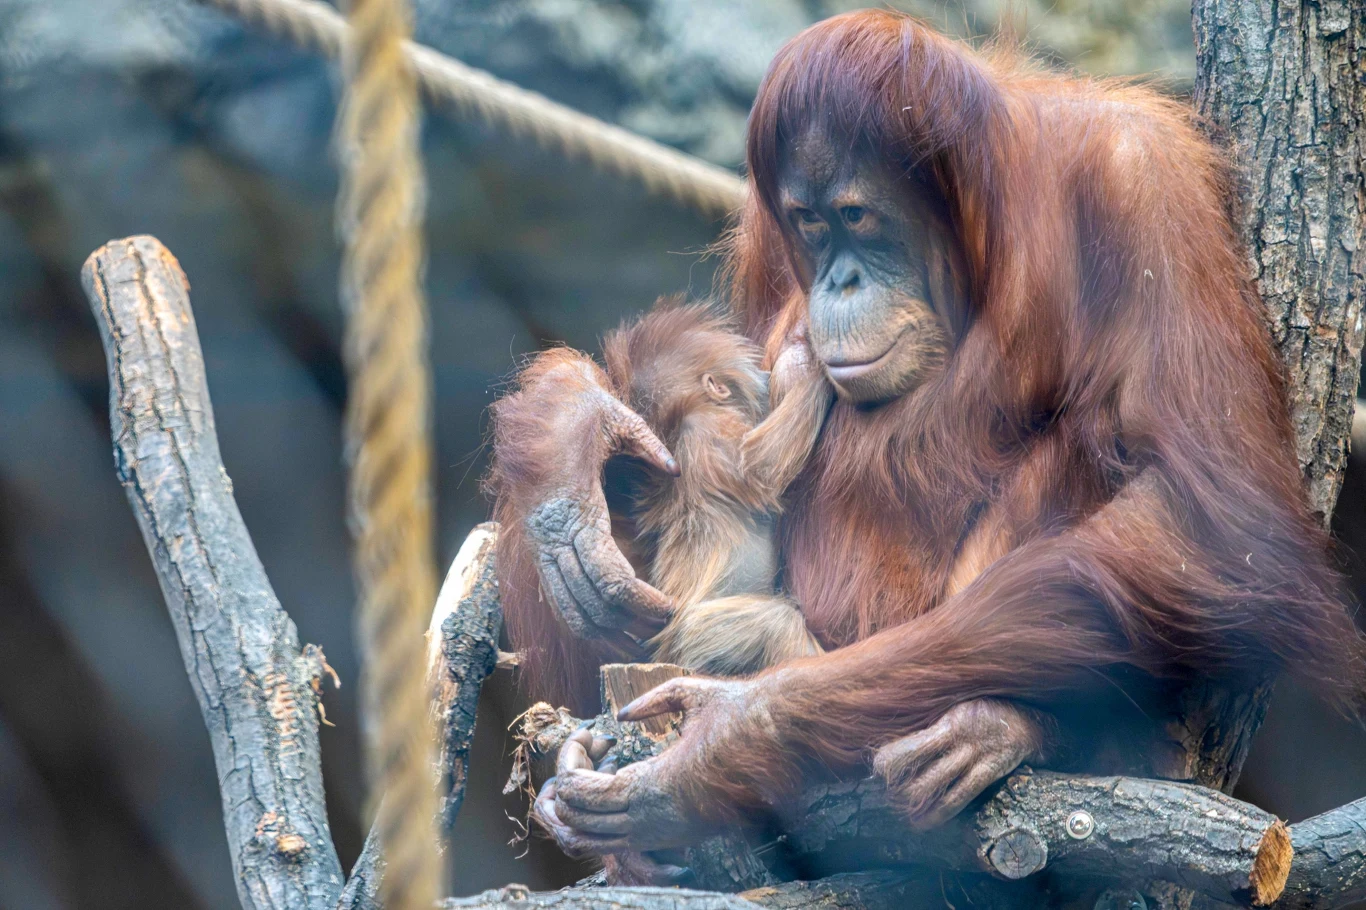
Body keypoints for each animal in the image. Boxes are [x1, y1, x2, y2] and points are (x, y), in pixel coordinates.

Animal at [599, 301, 834, 677]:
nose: (766, 378)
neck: (685, 419)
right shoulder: (709, 430)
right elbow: (757, 469)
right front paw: (815, 367)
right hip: (698, 632)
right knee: (778, 624)